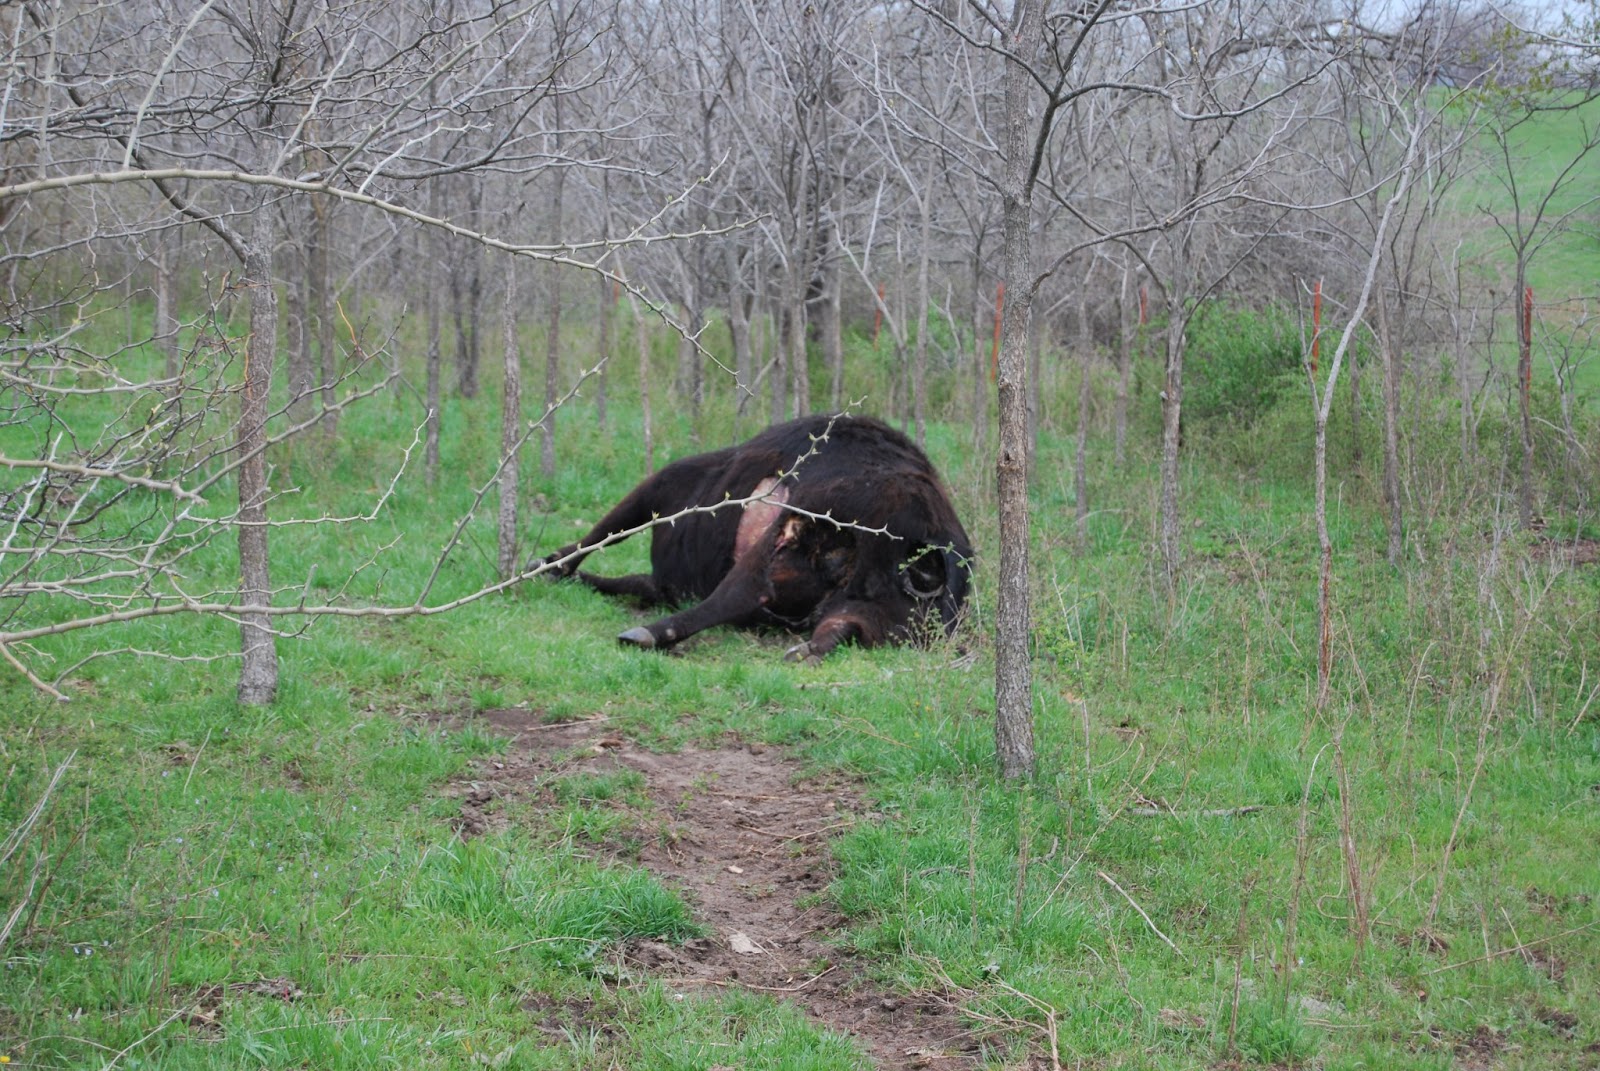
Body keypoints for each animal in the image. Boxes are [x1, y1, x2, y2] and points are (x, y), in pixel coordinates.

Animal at [534, 414, 974, 663]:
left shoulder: (659, 488)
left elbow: (607, 531)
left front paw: (548, 565)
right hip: (880, 619)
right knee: (840, 627)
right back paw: (805, 652)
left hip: (784, 526)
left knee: (741, 592)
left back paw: (645, 633)